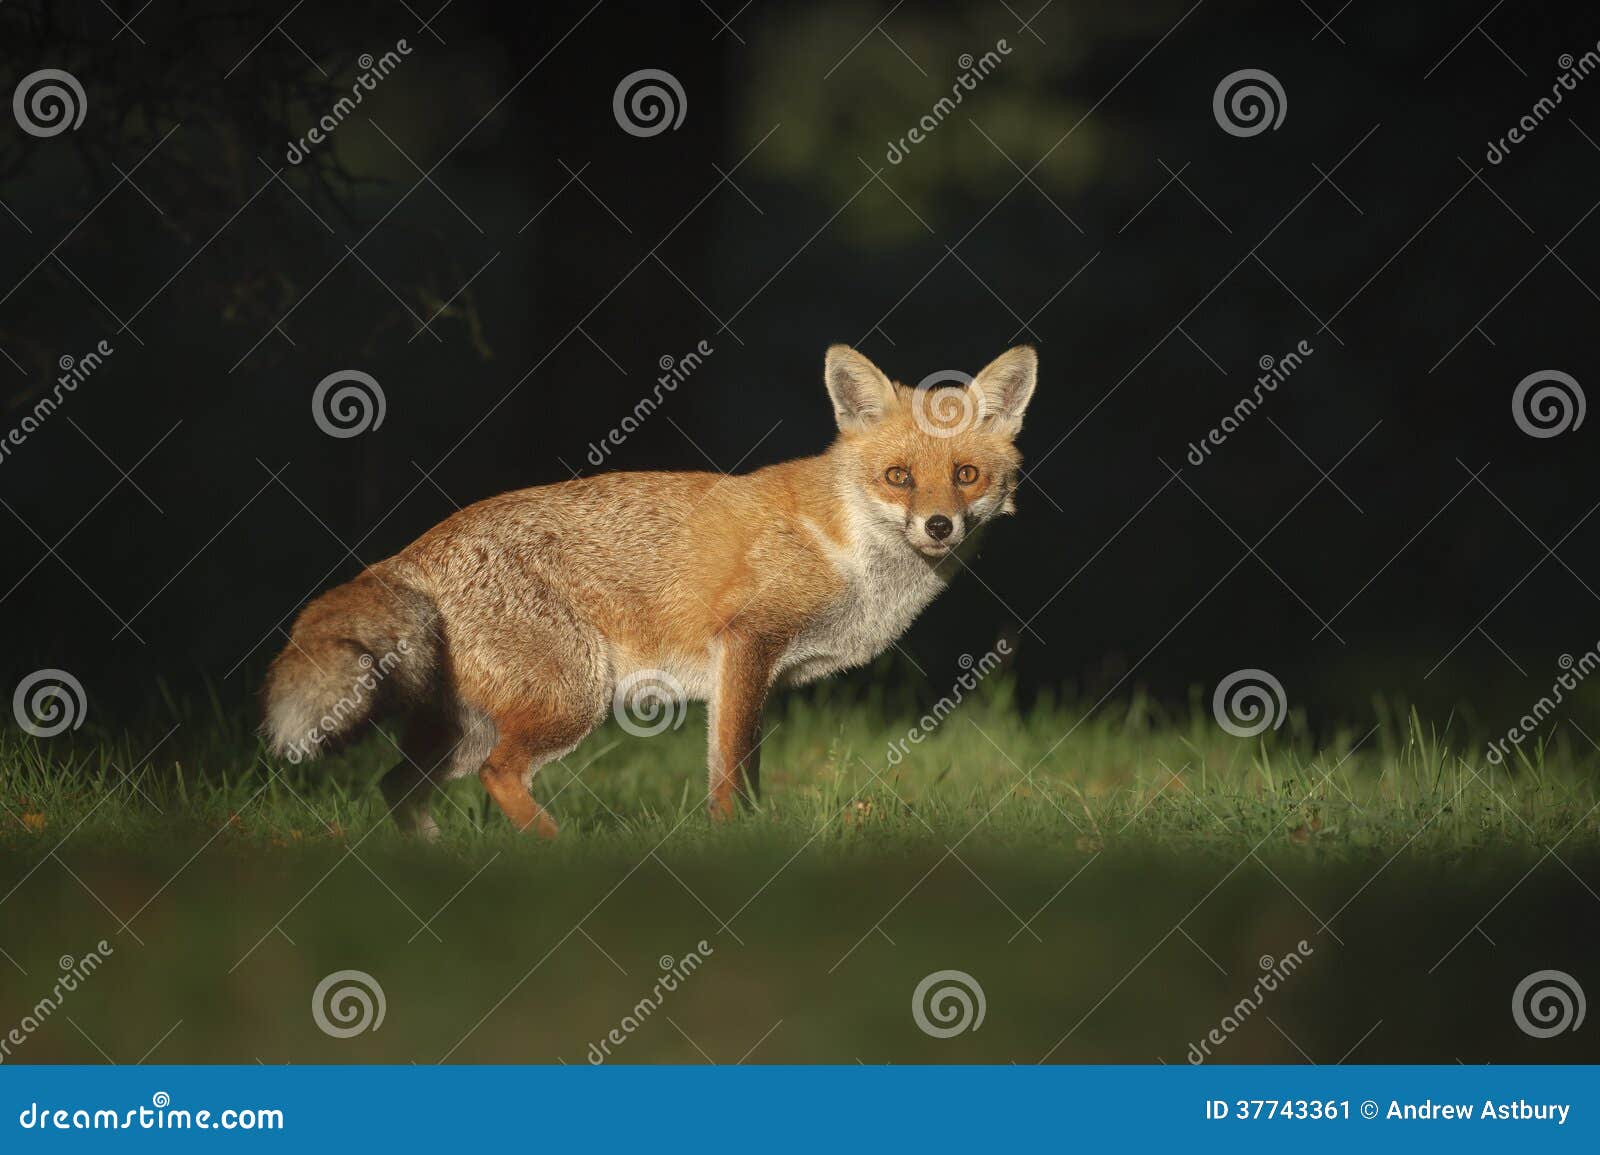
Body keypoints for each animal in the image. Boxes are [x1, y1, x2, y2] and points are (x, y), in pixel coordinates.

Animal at [261, 343, 1038, 837]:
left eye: (965, 475)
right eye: (899, 477)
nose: (938, 525)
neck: (851, 550)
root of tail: (412, 552)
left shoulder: (753, 675)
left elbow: (745, 765)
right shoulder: (748, 642)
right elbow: (729, 772)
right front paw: (731, 841)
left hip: (469, 725)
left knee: (395, 786)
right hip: (571, 698)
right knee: (497, 774)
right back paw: (560, 852)